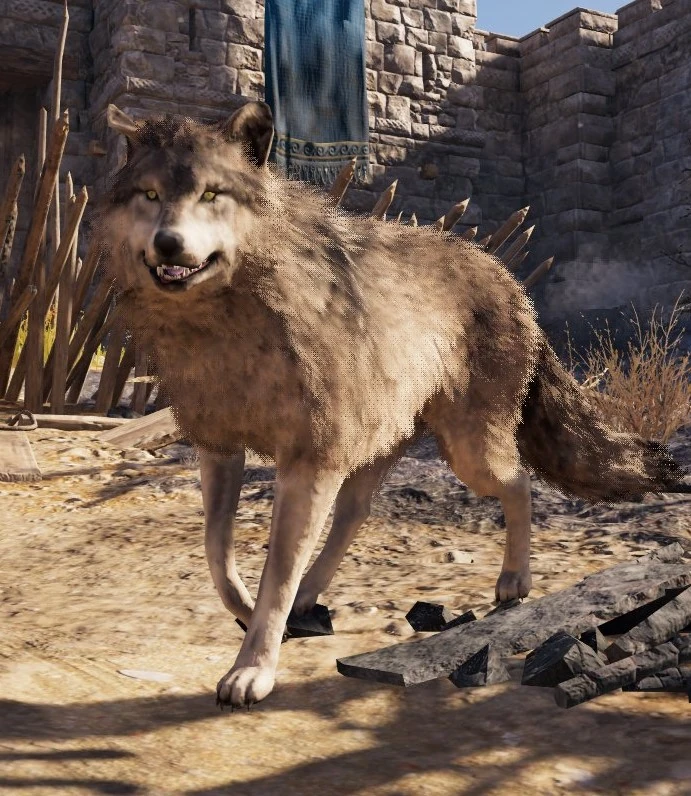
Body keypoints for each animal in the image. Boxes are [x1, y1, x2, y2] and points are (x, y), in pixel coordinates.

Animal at [97, 100, 689, 709]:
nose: (168, 244)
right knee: (353, 515)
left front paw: (252, 669)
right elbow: (218, 551)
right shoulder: (219, 447)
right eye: (149, 195)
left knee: (519, 481)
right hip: (373, 443)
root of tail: (510, 279)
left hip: (465, 453)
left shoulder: (308, 459)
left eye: (211, 194)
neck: (228, 324)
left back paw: (513, 583)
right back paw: (312, 597)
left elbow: (276, 572)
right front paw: (244, 607)